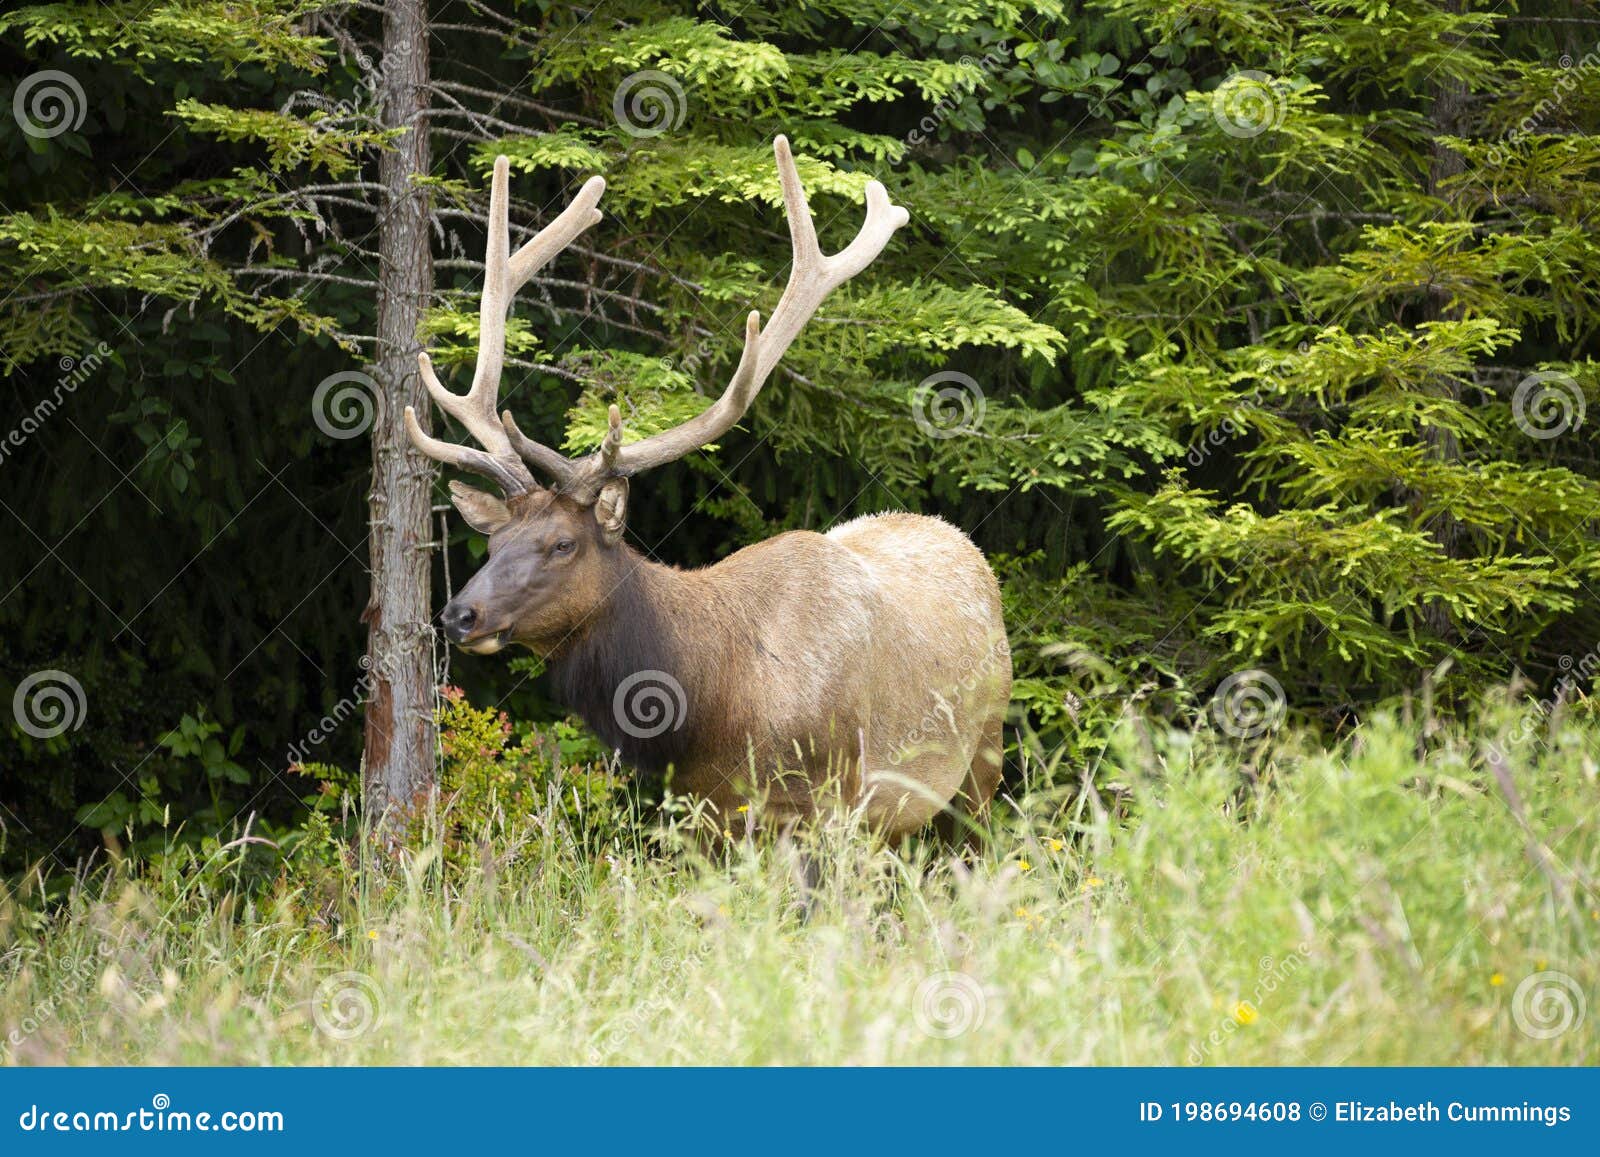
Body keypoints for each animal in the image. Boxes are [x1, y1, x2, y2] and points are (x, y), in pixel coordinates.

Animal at [404, 137, 1011, 841]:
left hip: (980, 761)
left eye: (562, 544)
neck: (713, 707)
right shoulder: (702, 811)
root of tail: (960, 541)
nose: (459, 614)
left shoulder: (829, 799)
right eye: (495, 542)